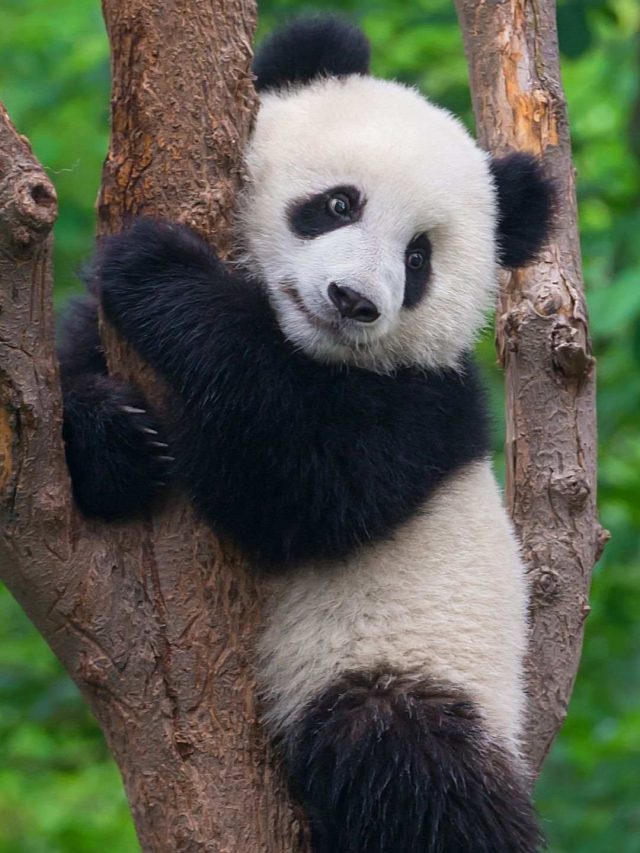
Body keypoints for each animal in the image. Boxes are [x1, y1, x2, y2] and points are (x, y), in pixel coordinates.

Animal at [57, 15, 554, 853]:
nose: (352, 300)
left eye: (418, 257)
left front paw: (159, 271)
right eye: (337, 203)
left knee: (407, 763)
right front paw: (116, 440)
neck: (307, 346)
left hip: (408, 664)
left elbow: (305, 484)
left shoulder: (424, 406)